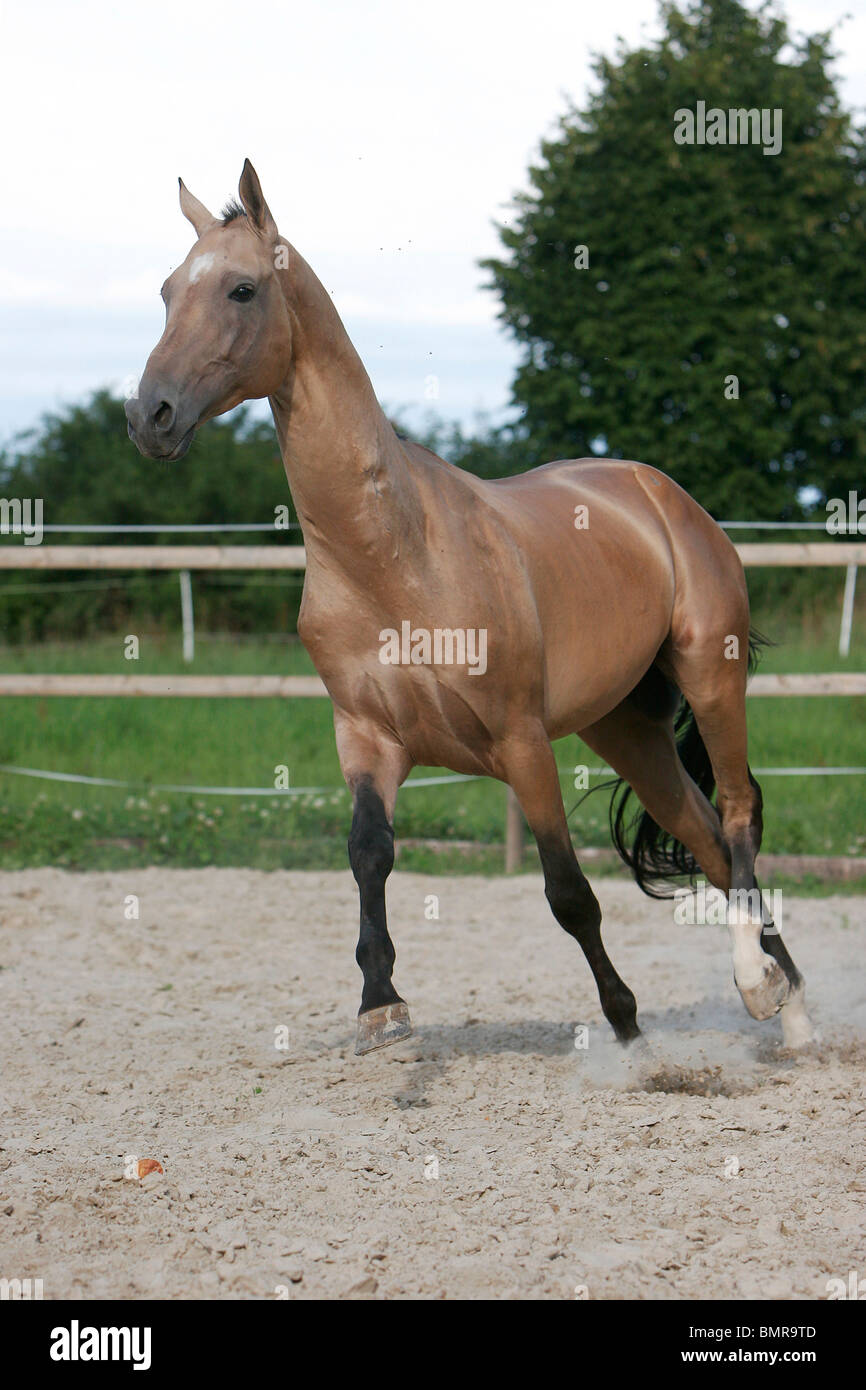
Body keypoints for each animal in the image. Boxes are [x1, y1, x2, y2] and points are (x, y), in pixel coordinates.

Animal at [126, 160, 816, 1055]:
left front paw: (628, 1032)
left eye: (242, 289)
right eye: (169, 290)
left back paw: (766, 995)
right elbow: (369, 853)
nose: (150, 415)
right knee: (704, 833)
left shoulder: (522, 744)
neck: (393, 557)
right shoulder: (367, 738)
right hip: (624, 726)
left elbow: (567, 892)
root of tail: (661, 494)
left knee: (736, 817)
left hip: (710, 674)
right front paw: (380, 1004)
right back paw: (785, 1002)